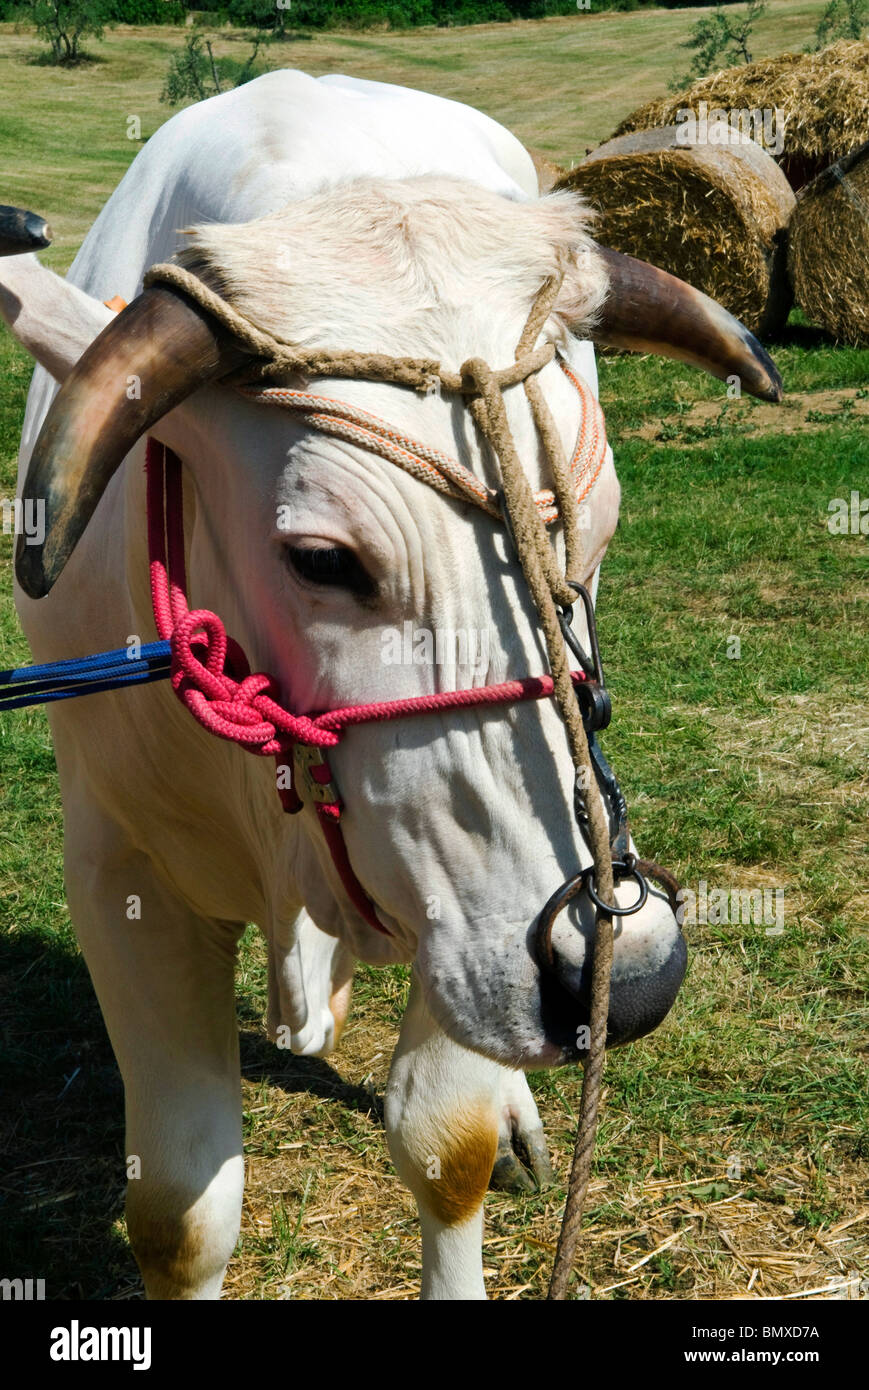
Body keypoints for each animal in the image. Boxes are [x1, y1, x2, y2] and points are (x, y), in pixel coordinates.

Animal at [0, 71, 780, 1300]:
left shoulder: (461, 895)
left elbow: (443, 1148)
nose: (626, 971)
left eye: (598, 525)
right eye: (323, 559)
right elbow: (178, 1210)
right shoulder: (119, 874)